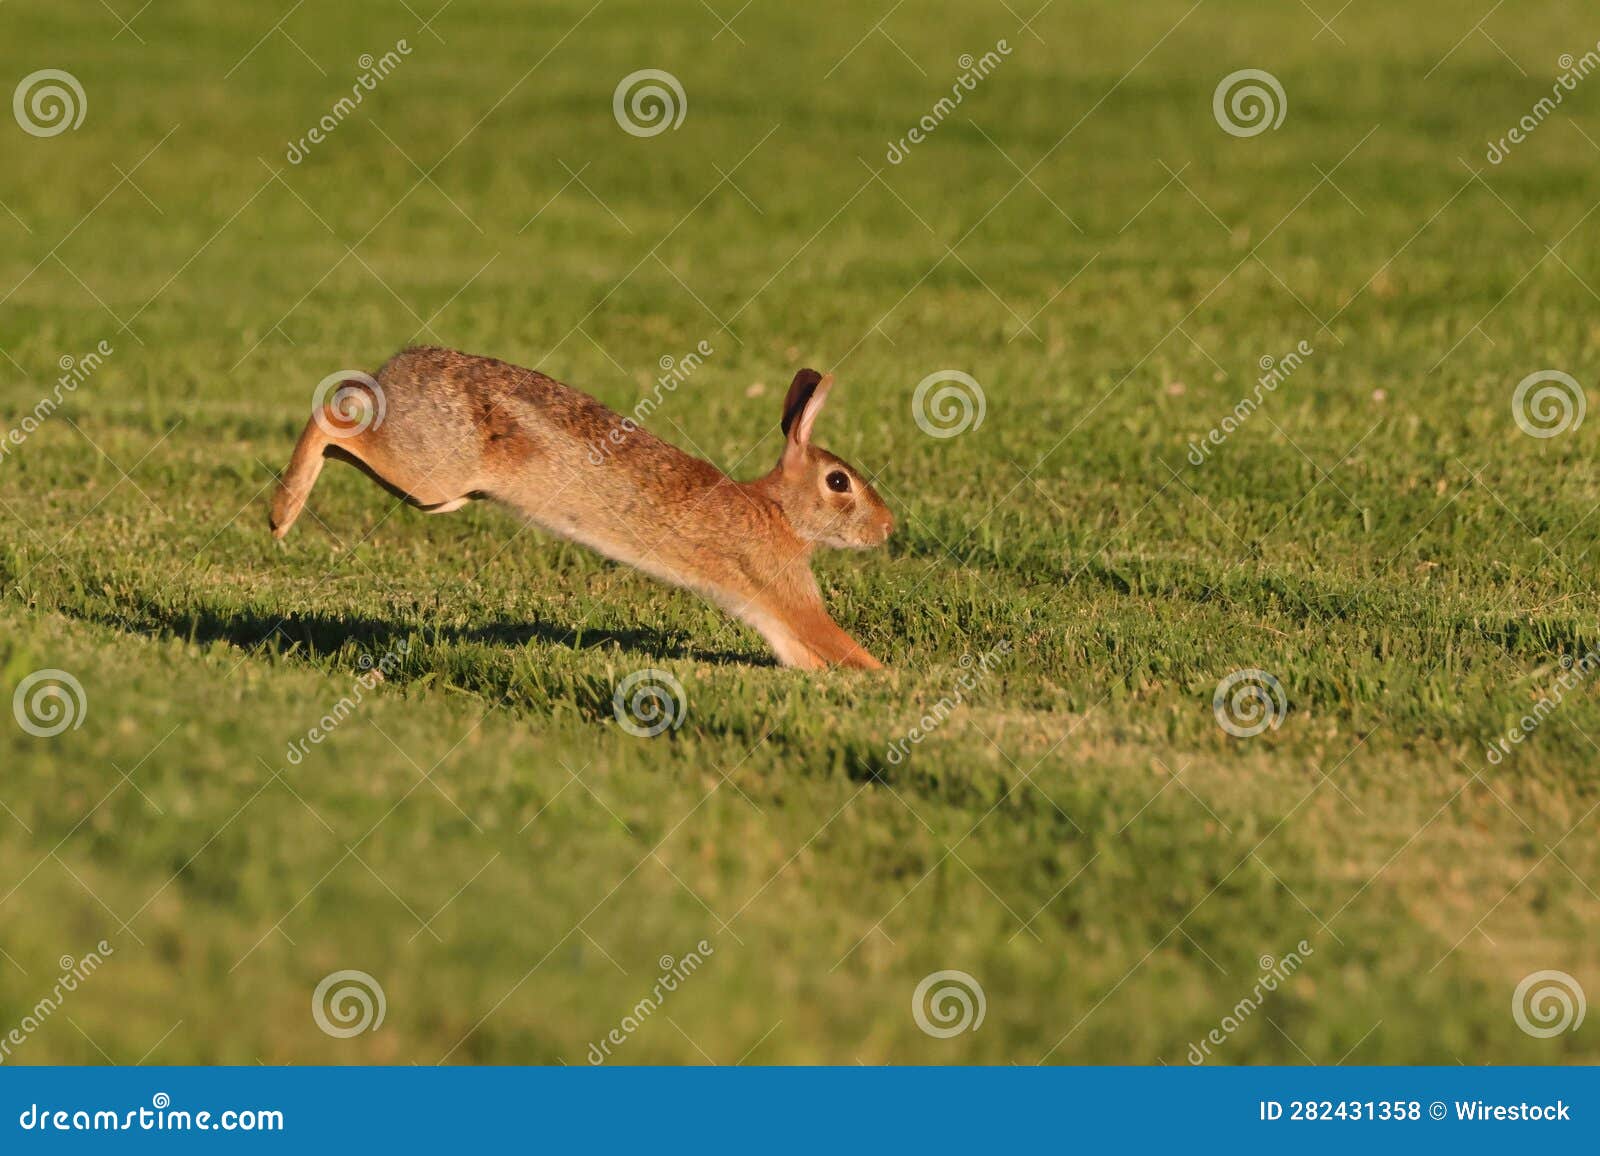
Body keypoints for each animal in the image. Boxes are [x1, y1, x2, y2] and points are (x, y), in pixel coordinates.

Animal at [269, 347, 894, 670]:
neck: (780, 512)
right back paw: (281, 513)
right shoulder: (786, 591)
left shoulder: (778, 619)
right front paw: (886, 679)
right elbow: (830, 637)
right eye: (840, 483)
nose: (888, 528)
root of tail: (396, 369)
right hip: (430, 471)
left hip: (434, 490)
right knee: (332, 417)